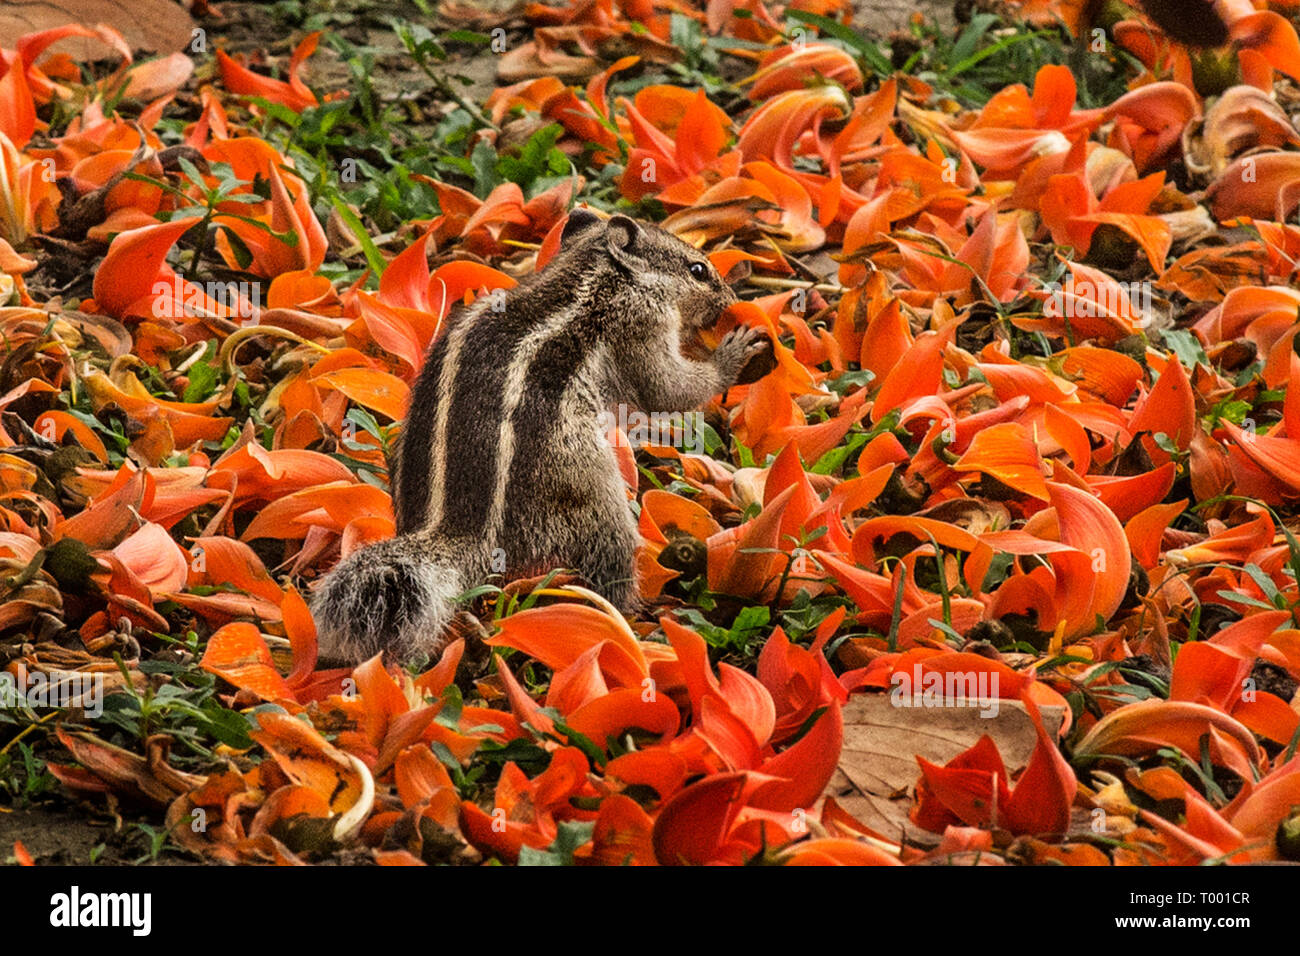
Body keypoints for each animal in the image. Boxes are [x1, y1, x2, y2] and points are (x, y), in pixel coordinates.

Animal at [311, 211, 773, 663]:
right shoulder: (641, 327)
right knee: (610, 565)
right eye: (698, 270)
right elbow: (670, 388)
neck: (594, 274)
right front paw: (731, 355)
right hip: (586, 496)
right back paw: (636, 617)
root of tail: (458, 532)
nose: (730, 300)